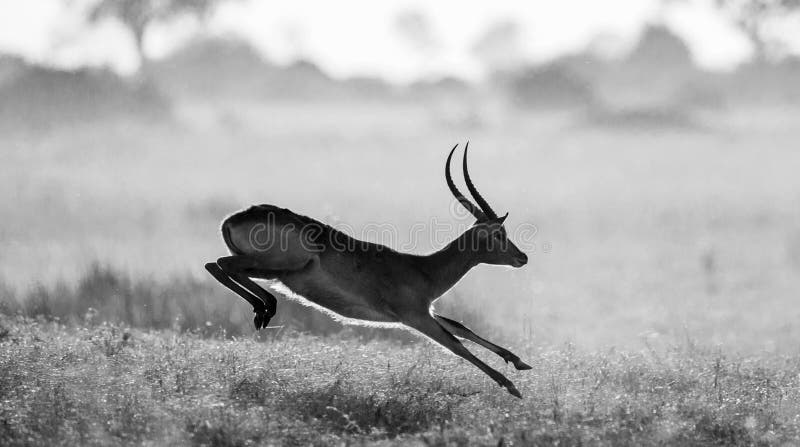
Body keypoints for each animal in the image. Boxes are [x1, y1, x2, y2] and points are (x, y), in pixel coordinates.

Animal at [205, 142, 531, 397]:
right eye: (499, 233)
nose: (522, 257)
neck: (424, 269)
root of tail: (233, 218)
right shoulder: (415, 317)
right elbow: (456, 345)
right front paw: (511, 386)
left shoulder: (427, 311)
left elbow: (462, 327)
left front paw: (519, 361)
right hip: (279, 266)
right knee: (222, 265)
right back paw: (265, 309)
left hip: (273, 272)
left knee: (216, 265)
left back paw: (263, 310)